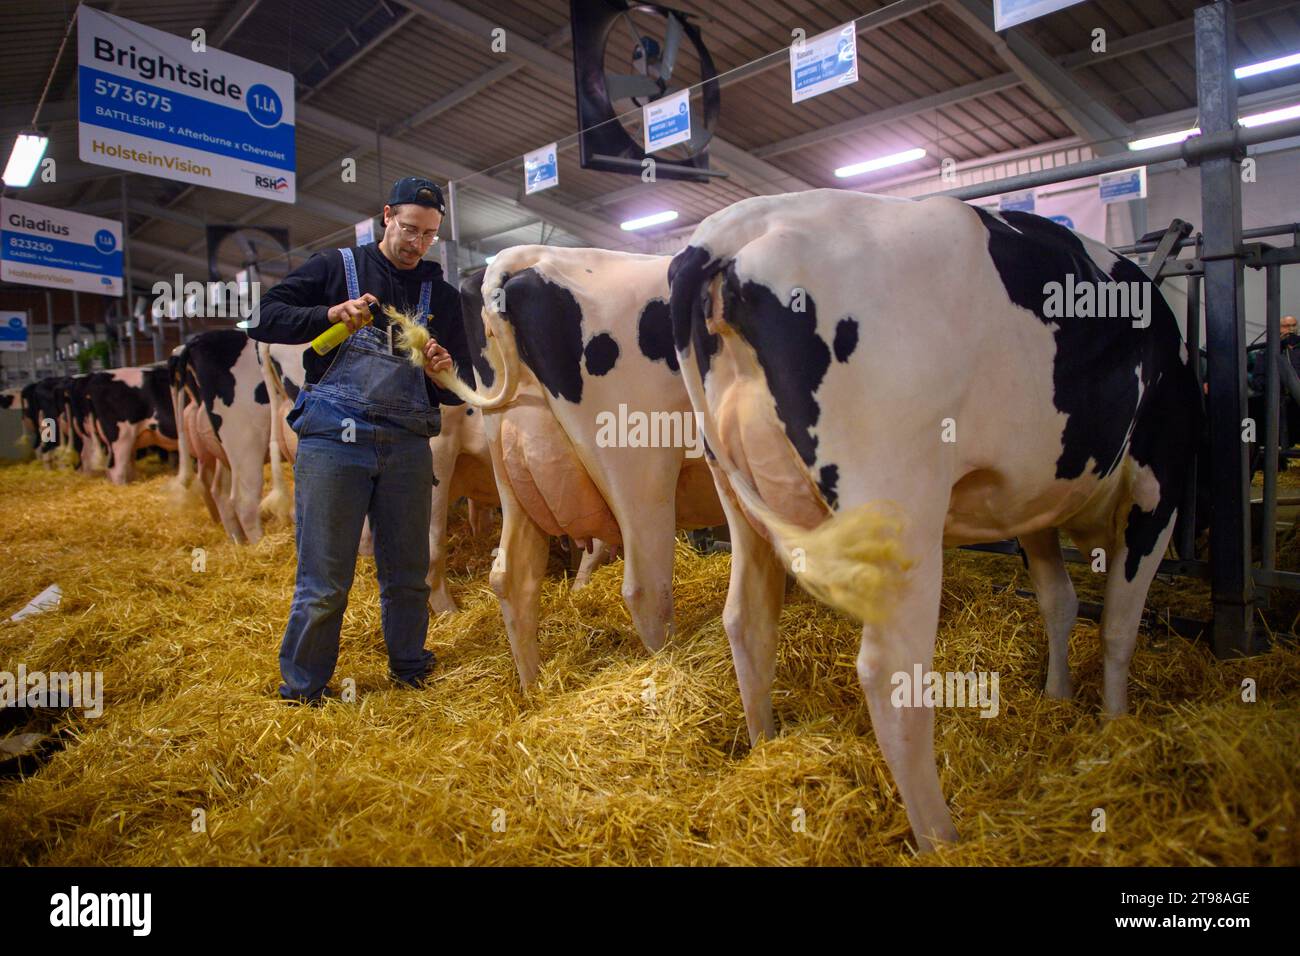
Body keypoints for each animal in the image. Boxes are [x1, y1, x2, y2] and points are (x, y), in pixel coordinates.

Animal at [170, 331, 272, 543]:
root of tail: (197, 341)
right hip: (245, 442)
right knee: (244, 499)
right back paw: (260, 545)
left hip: (223, 451)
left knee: (219, 491)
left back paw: (238, 542)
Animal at [441, 246, 725, 689]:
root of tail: (520, 258)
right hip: (641, 476)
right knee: (646, 588)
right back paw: (668, 670)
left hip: (512, 475)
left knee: (510, 577)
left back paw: (533, 690)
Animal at [665, 189, 1200, 851]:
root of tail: (732, 231)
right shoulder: (1160, 485)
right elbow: (1119, 625)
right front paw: (1116, 723)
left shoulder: (1029, 503)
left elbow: (1060, 601)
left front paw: (1058, 696)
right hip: (901, 508)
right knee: (889, 673)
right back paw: (942, 835)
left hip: (738, 501)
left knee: (747, 621)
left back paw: (766, 750)